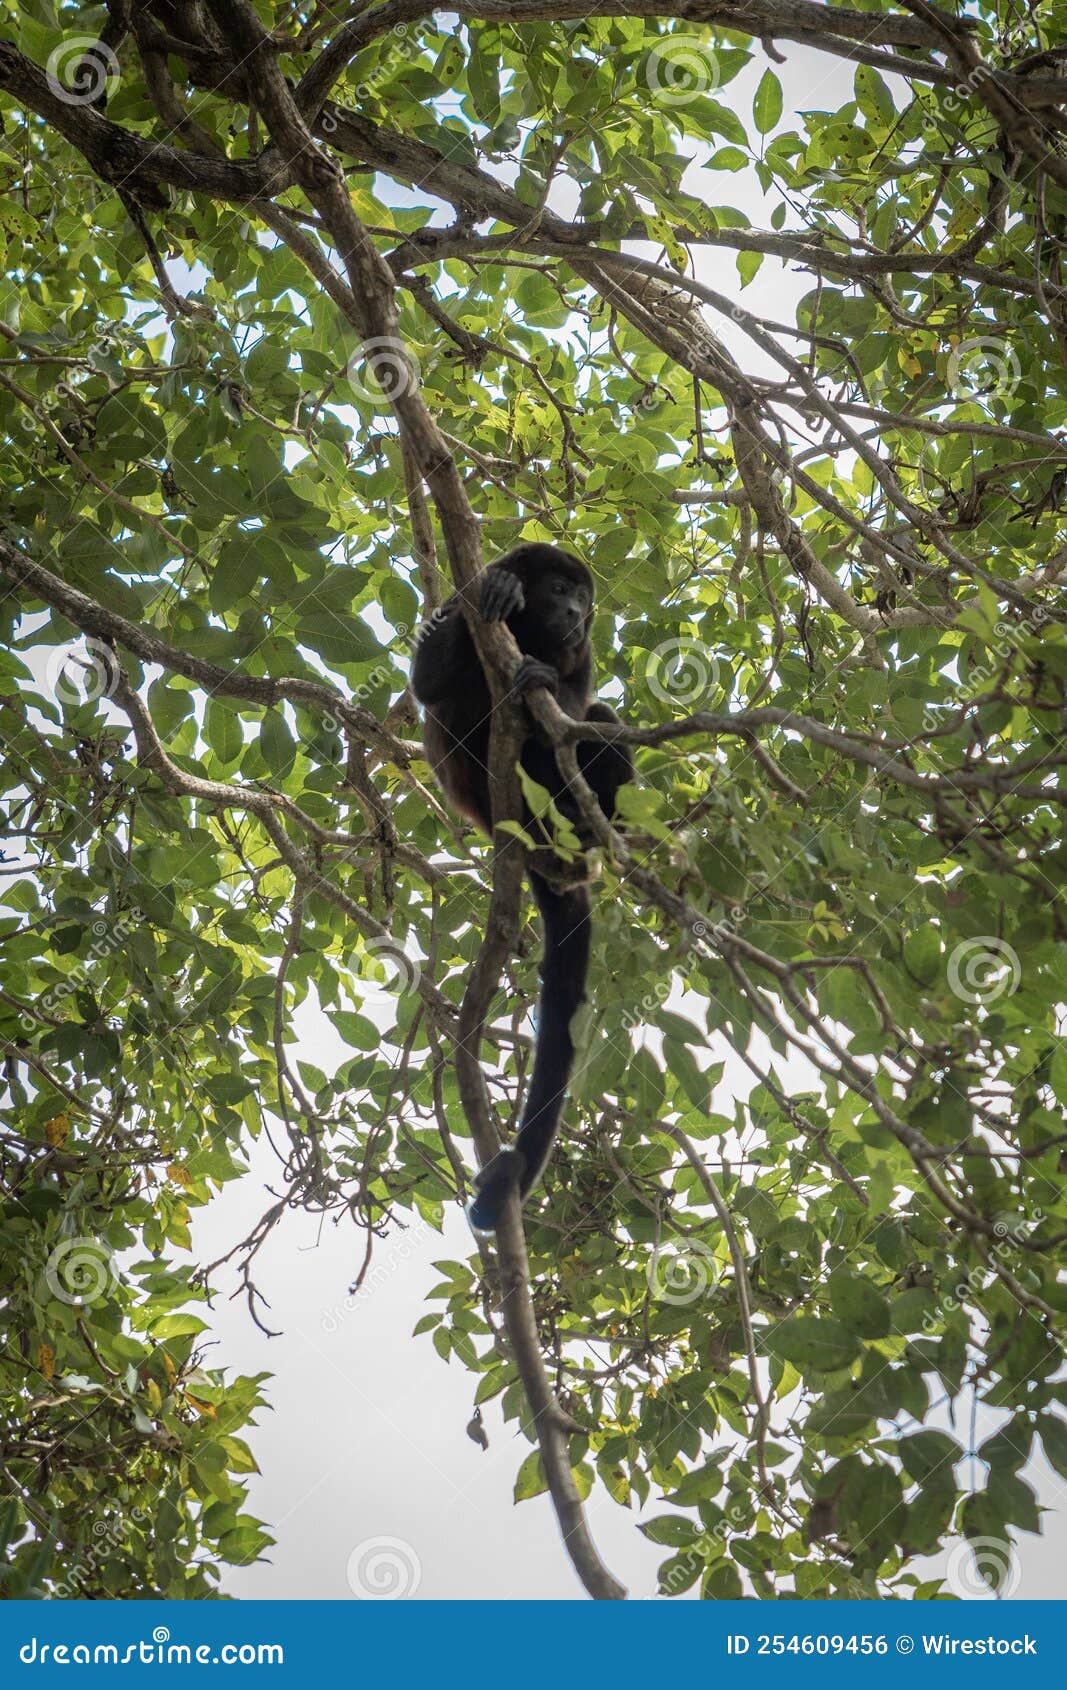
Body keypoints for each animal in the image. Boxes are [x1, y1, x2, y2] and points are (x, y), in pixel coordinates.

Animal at [410, 543, 633, 1232]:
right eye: (561, 588)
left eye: (584, 599)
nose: (576, 611)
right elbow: (428, 684)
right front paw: (501, 587)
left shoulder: (581, 652)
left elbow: (577, 702)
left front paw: (545, 681)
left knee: (599, 720)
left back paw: (597, 831)